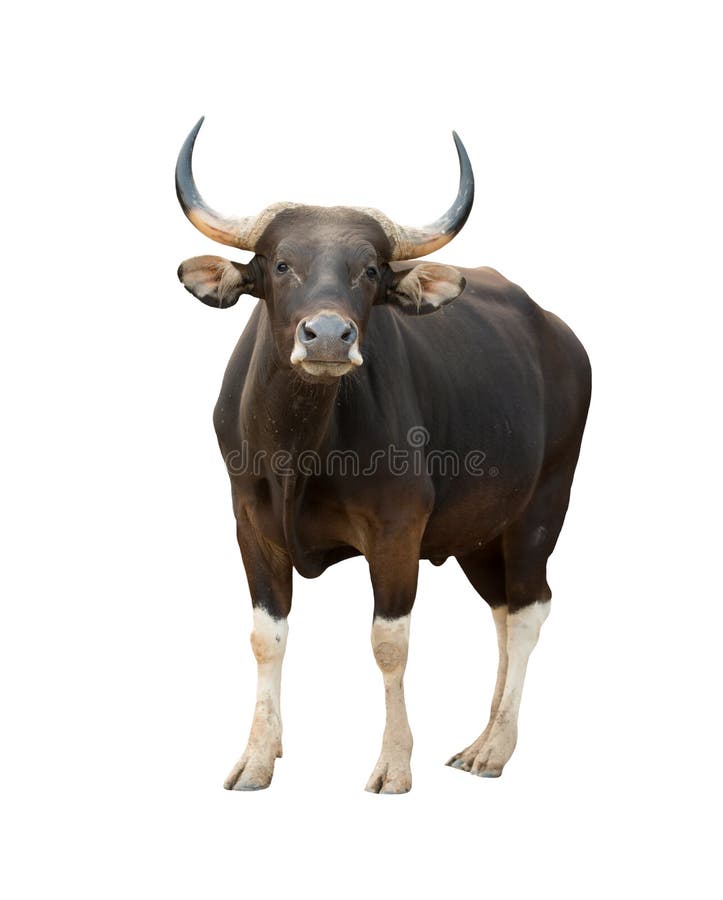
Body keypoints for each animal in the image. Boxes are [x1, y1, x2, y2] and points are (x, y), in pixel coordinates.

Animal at [175, 117, 591, 793]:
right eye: (280, 264)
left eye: (369, 270)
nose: (327, 335)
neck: (299, 456)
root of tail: (561, 339)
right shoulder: (249, 525)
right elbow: (267, 638)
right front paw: (260, 755)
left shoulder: (398, 530)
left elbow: (388, 644)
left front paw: (394, 762)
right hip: (480, 532)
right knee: (502, 611)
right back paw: (479, 737)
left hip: (542, 509)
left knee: (530, 610)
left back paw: (496, 747)